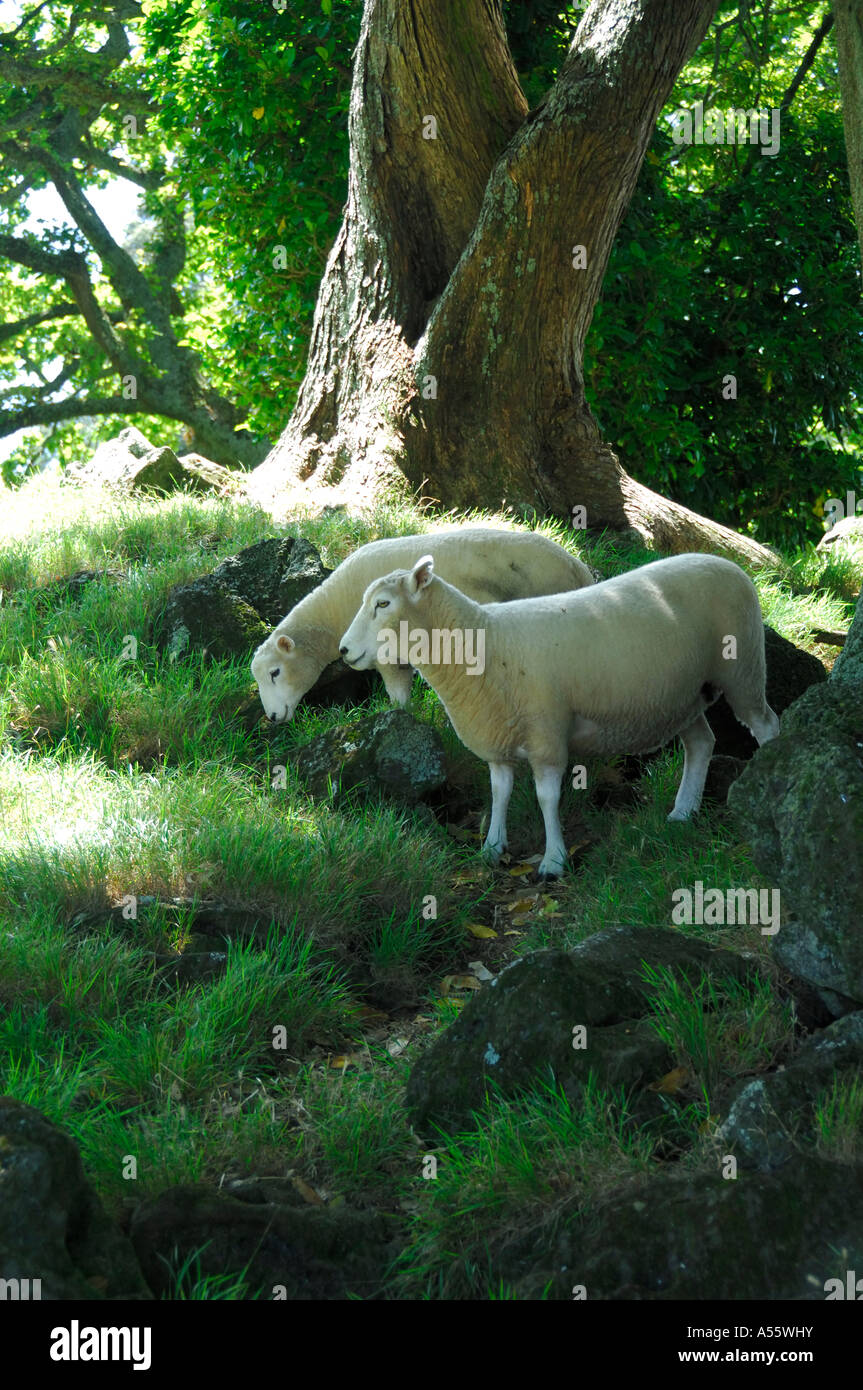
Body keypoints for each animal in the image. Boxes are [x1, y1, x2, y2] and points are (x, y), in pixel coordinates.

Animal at [251, 528, 593, 722]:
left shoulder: (386, 654)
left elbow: (398, 697)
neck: (332, 609)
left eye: (275, 672)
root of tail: (578, 567)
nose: (272, 716)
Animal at [339, 553, 780, 878]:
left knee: (766, 726)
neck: (484, 641)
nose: (343, 650)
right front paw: (492, 848)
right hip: (683, 695)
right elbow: (500, 792)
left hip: (742, 669)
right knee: (702, 744)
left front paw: (553, 861)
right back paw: (682, 813)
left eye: (383, 604)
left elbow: (546, 798)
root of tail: (728, 563)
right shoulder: (499, 734)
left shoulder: (546, 733)